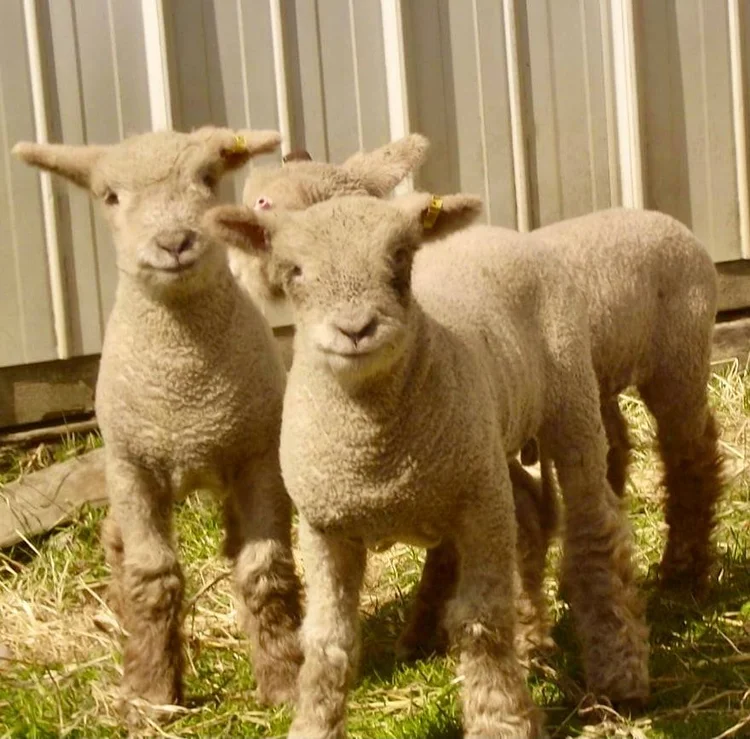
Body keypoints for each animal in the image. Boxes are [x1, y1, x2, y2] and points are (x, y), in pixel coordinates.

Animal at [12, 128, 304, 715]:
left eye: (208, 179)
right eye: (109, 196)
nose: (174, 242)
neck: (185, 391)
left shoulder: (258, 456)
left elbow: (264, 571)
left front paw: (284, 680)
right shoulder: (133, 466)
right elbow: (152, 575)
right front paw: (151, 692)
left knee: (236, 542)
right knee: (118, 541)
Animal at [203, 192, 650, 737]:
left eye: (399, 258)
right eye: (294, 270)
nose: (356, 329)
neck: (376, 461)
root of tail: (498, 232)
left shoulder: (479, 507)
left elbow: (480, 621)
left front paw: (499, 719)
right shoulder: (324, 526)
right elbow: (328, 639)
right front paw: (314, 723)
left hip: (570, 405)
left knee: (594, 534)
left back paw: (618, 673)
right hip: (489, 445)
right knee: (528, 515)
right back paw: (532, 643)